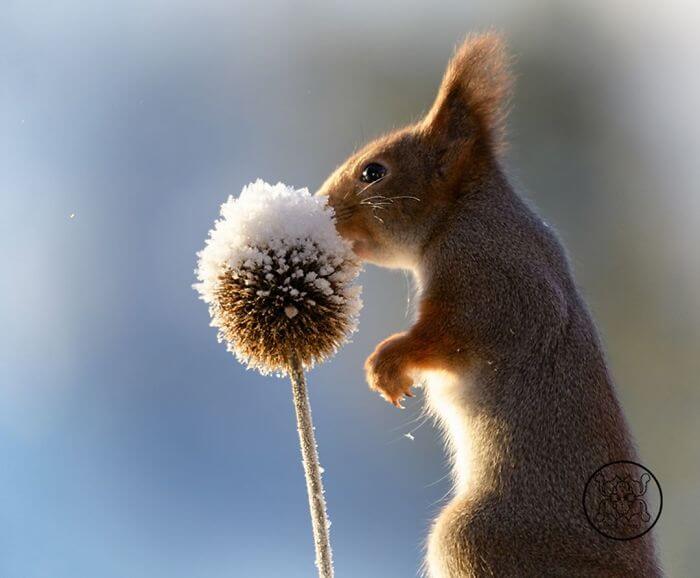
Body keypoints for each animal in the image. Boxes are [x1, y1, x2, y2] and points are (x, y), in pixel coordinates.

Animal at [317, 33, 661, 577]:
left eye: (373, 172)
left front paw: (388, 364)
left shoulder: (491, 284)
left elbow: (453, 334)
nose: (322, 205)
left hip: (473, 539)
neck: (463, 212)